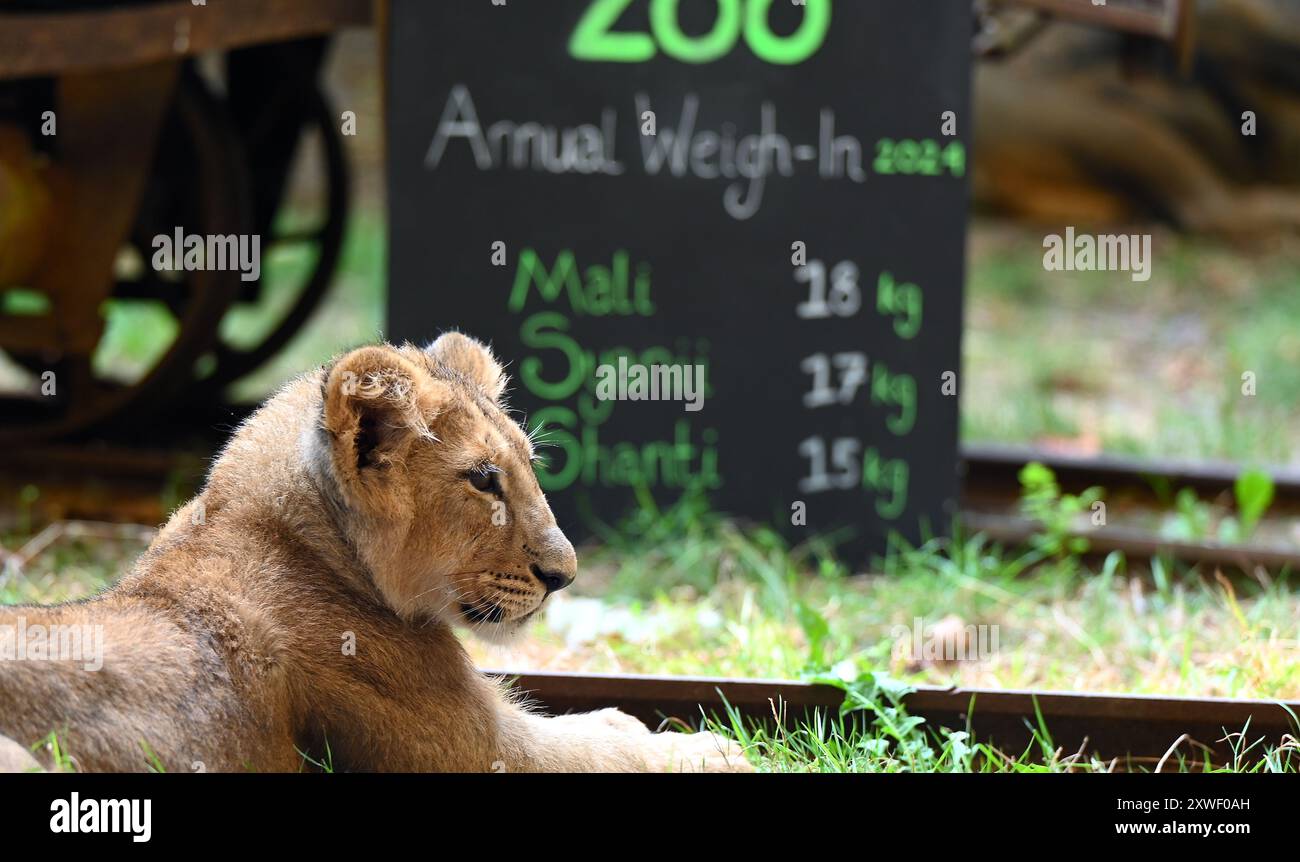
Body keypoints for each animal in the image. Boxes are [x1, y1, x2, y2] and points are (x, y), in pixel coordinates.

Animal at [0, 334, 750, 773]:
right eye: (483, 479)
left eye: (528, 467)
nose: (564, 576)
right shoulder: (483, 752)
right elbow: (605, 747)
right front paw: (713, 749)